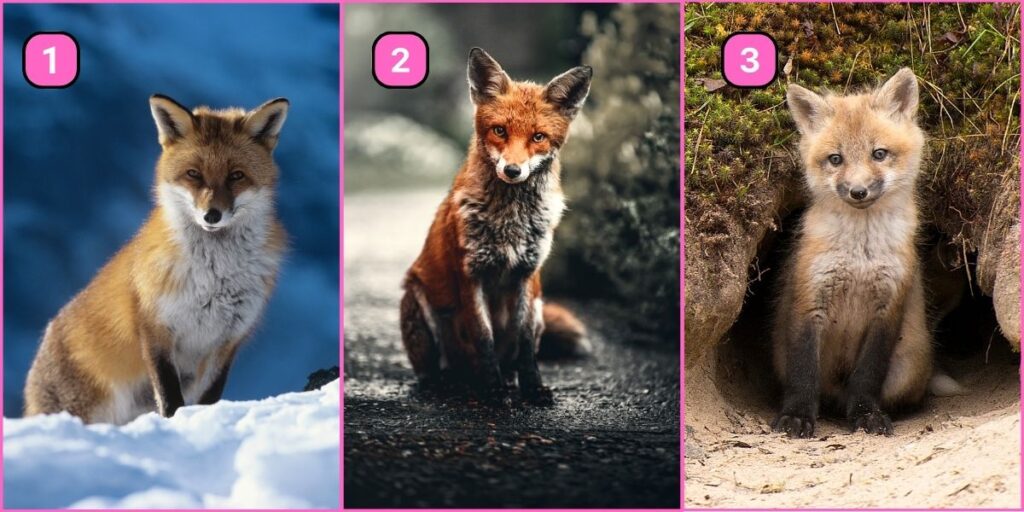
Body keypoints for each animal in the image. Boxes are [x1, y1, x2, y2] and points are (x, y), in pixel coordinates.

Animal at [23, 94, 289, 425]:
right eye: (194, 174)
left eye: (236, 175)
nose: (211, 215)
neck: (215, 277)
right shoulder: (155, 328)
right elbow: (169, 395)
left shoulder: (228, 341)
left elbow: (210, 397)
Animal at [400, 48, 592, 406]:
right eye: (500, 130)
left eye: (538, 137)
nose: (513, 170)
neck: (510, 221)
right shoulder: (470, 274)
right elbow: (483, 337)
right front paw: (493, 390)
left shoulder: (527, 276)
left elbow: (525, 345)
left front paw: (532, 387)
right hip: (418, 301)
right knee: (436, 370)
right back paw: (447, 383)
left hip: (540, 307)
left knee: (512, 356)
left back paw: (508, 379)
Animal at [772, 68, 934, 438]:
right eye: (836, 159)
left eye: (879, 154)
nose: (858, 191)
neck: (861, 254)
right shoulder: (809, 299)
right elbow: (804, 372)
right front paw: (797, 416)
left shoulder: (888, 307)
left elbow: (868, 375)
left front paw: (866, 415)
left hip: (906, 368)